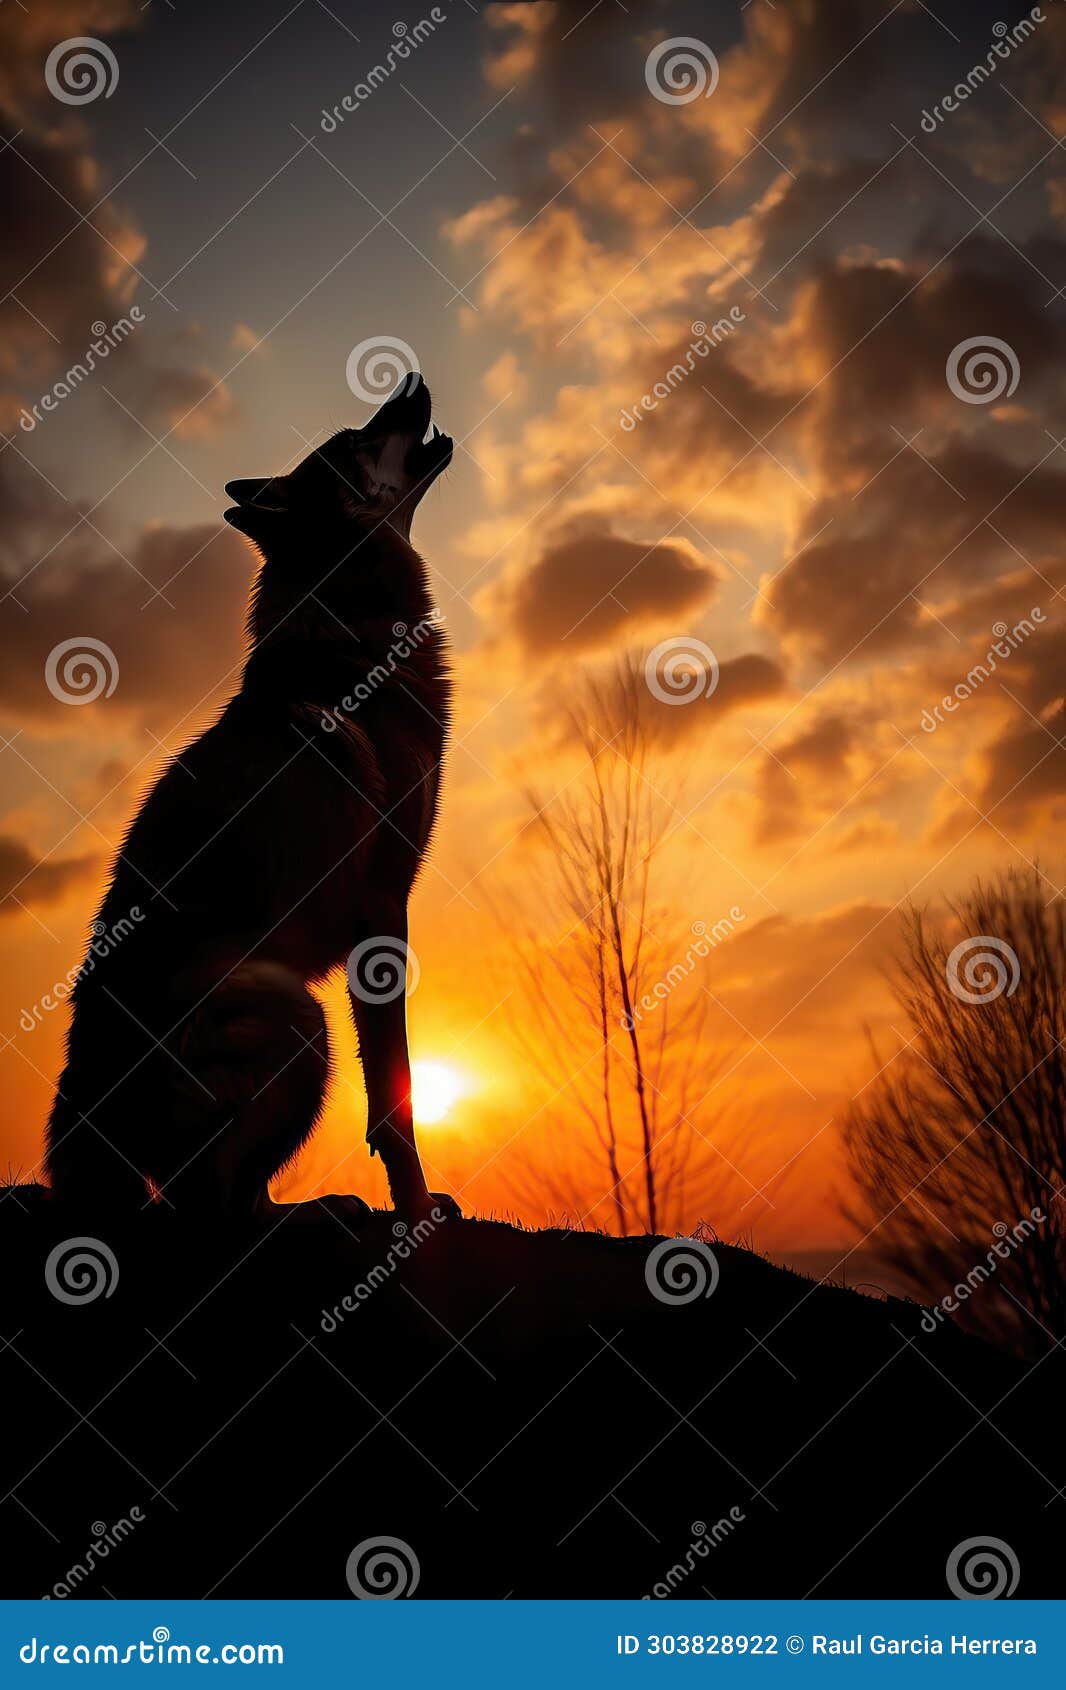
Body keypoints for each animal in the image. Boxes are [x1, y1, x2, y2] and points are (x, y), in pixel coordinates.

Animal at [45, 372, 456, 1222]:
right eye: (357, 440)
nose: (408, 379)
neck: (356, 630)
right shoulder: (384, 907)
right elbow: (394, 1098)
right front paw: (415, 1210)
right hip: (297, 1011)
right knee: (211, 1204)